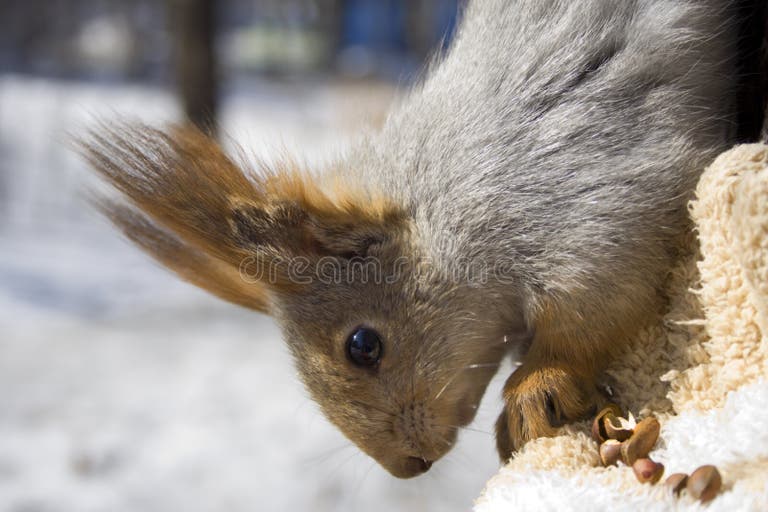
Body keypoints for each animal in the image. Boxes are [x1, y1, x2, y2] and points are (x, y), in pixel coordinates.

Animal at [81, 0, 766, 478]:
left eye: (363, 346)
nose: (405, 469)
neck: (445, 207)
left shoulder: (589, 190)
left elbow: (600, 301)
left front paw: (538, 384)